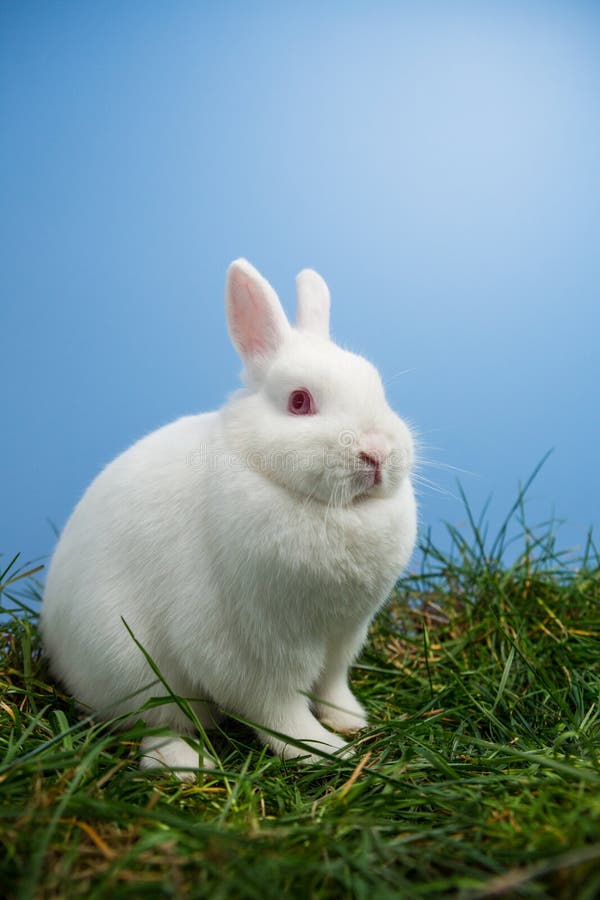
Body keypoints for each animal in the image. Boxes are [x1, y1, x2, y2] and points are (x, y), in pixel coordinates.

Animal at [41, 256, 418, 776]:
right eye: (299, 401)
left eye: (378, 387)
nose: (377, 452)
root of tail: (55, 649)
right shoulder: (254, 650)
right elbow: (277, 710)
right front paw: (322, 751)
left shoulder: (344, 637)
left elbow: (332, 685)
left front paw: (349, 720)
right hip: (131, 663)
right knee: (154, 721)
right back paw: (186, 763)